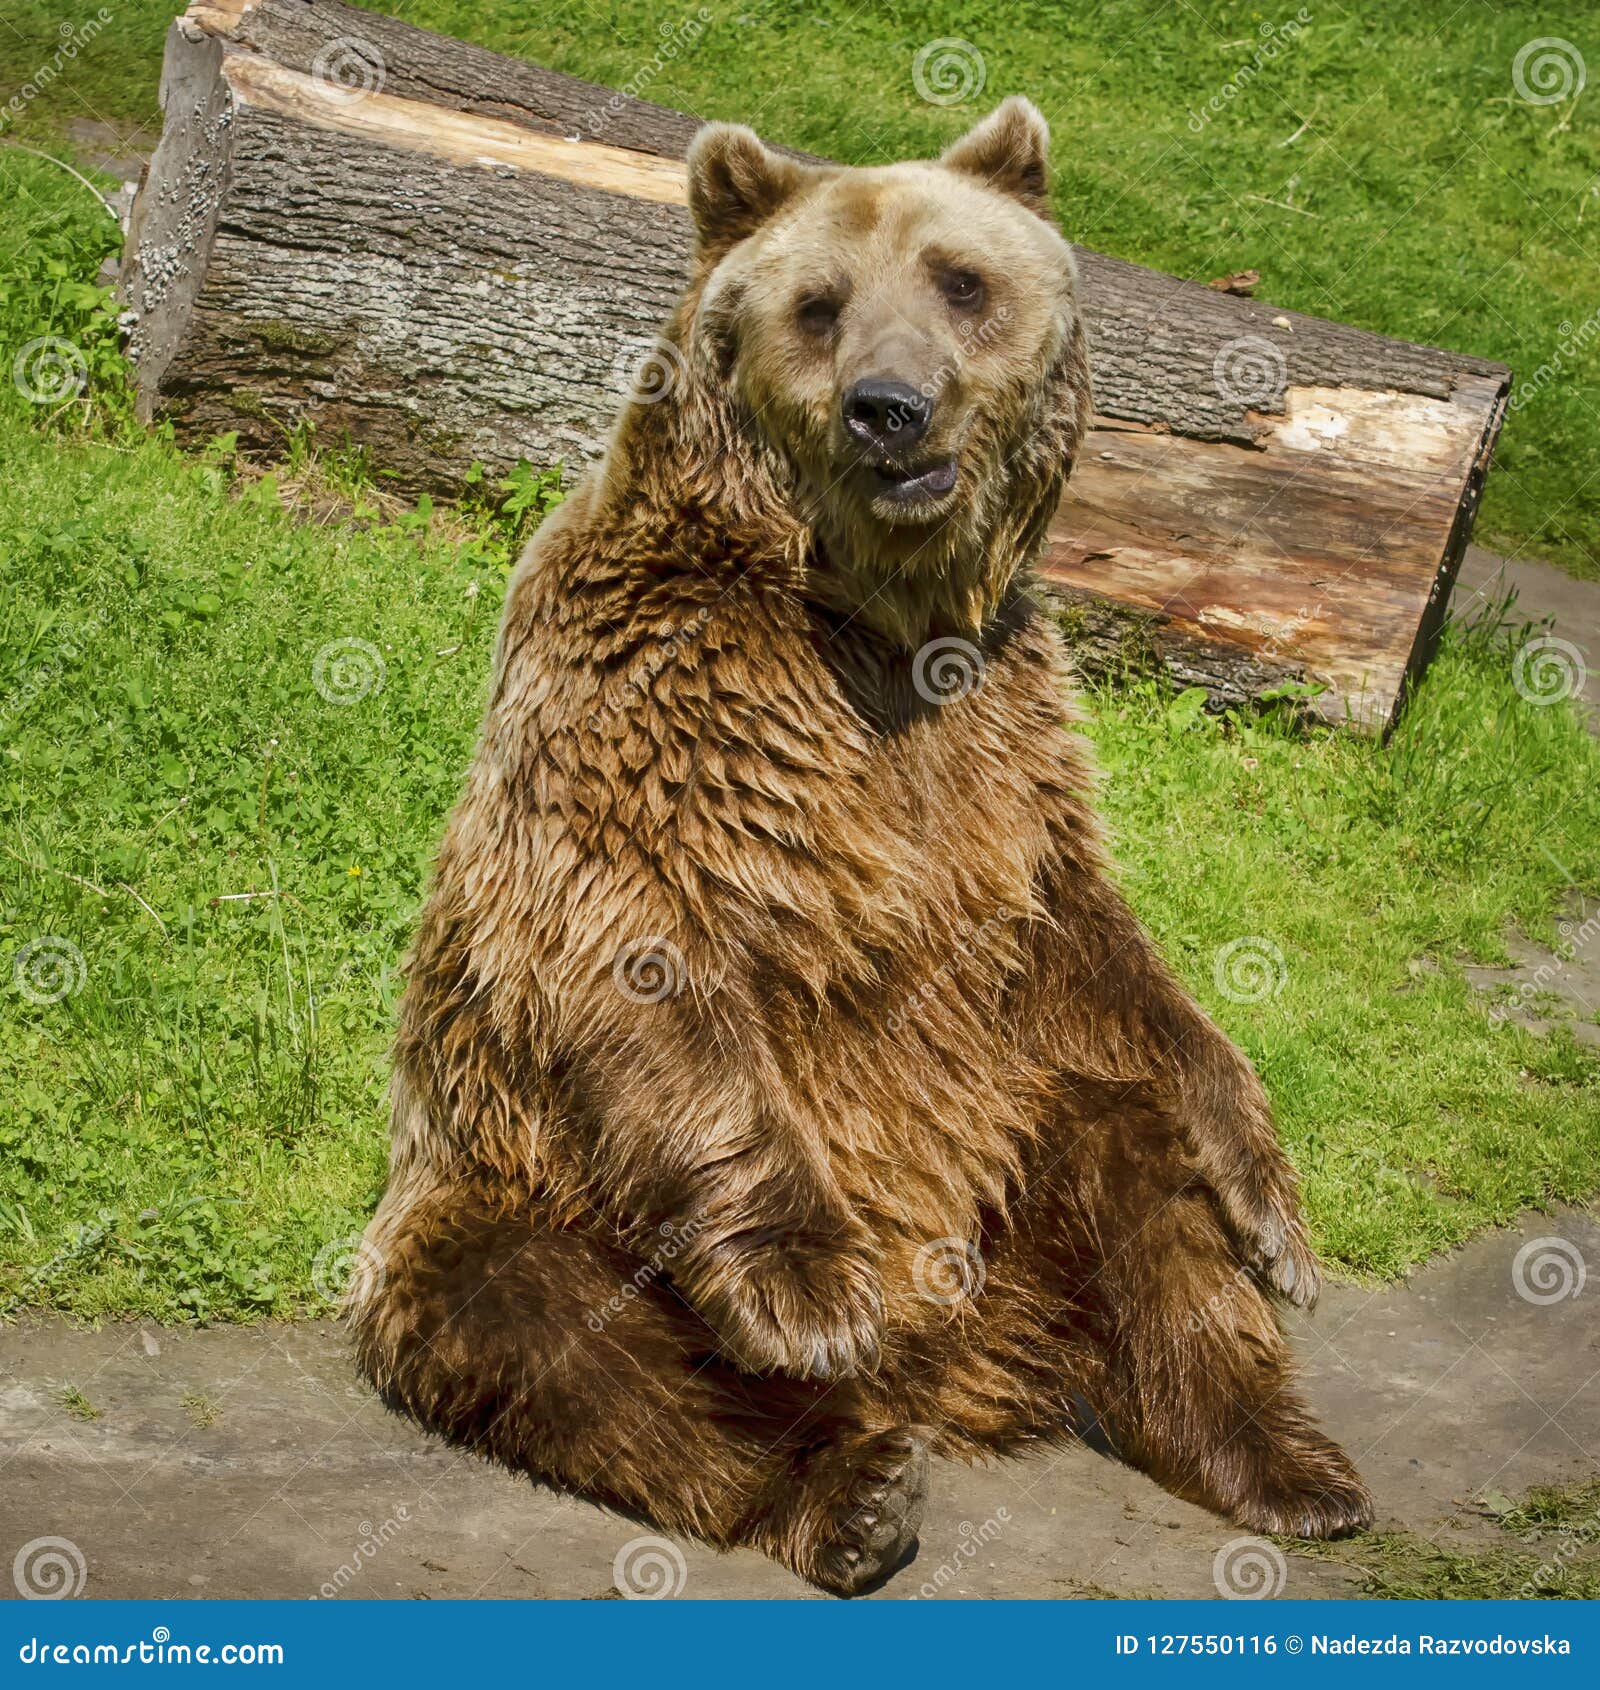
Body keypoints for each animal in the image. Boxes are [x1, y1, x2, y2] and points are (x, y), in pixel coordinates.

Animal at [348, 96, 1372, 1597]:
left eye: (962, 279)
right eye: (819, 303)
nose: (890, 406)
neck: (877, 616)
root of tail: (950, 1372)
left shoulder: (1003, 749)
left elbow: (1096, 948)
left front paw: (1277, 1217)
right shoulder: (649, 715)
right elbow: (645, 956)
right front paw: (813, 1290)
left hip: (1013, 1142)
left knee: (1141, 1187)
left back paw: (1290, 1463)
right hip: (525, 1191)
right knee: (560, 1333)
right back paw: (854, 1485)